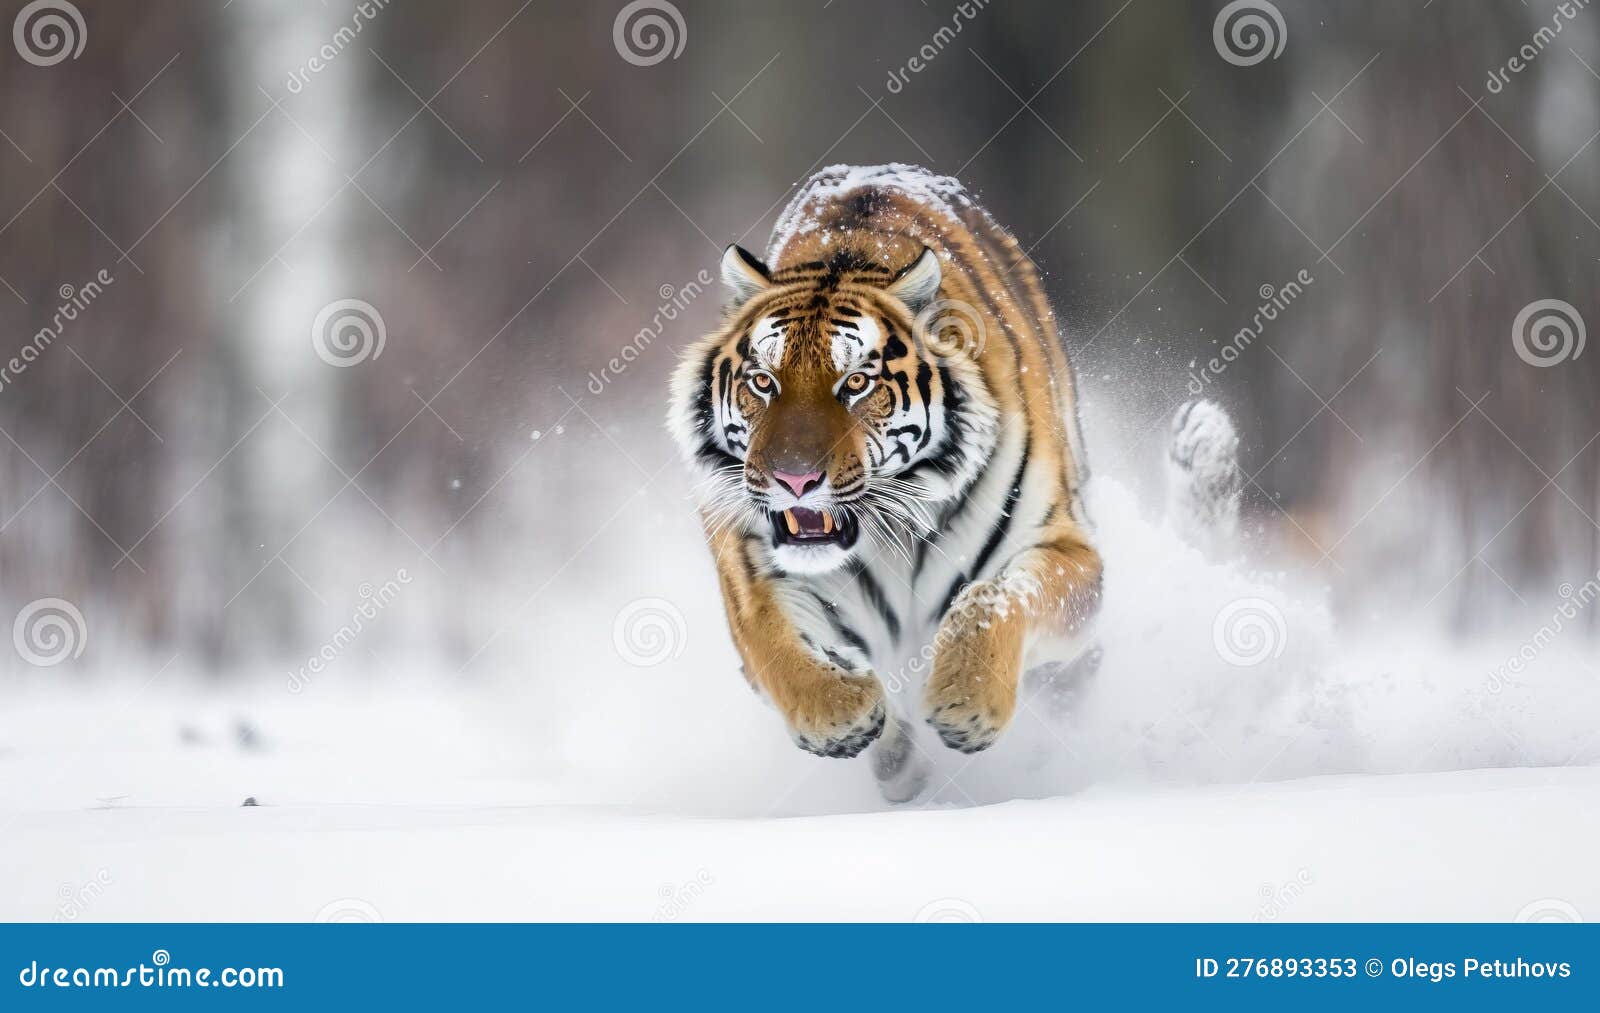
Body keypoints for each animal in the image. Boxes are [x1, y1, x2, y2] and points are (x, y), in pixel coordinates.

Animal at [668, 163, 1106, 802]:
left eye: (855, 383)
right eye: (763, 381)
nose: (793, 479)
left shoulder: (1059, 542)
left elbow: (996, 598)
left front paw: (966, 702)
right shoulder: (751, 568)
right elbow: (778, 643)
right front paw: (846, 718)